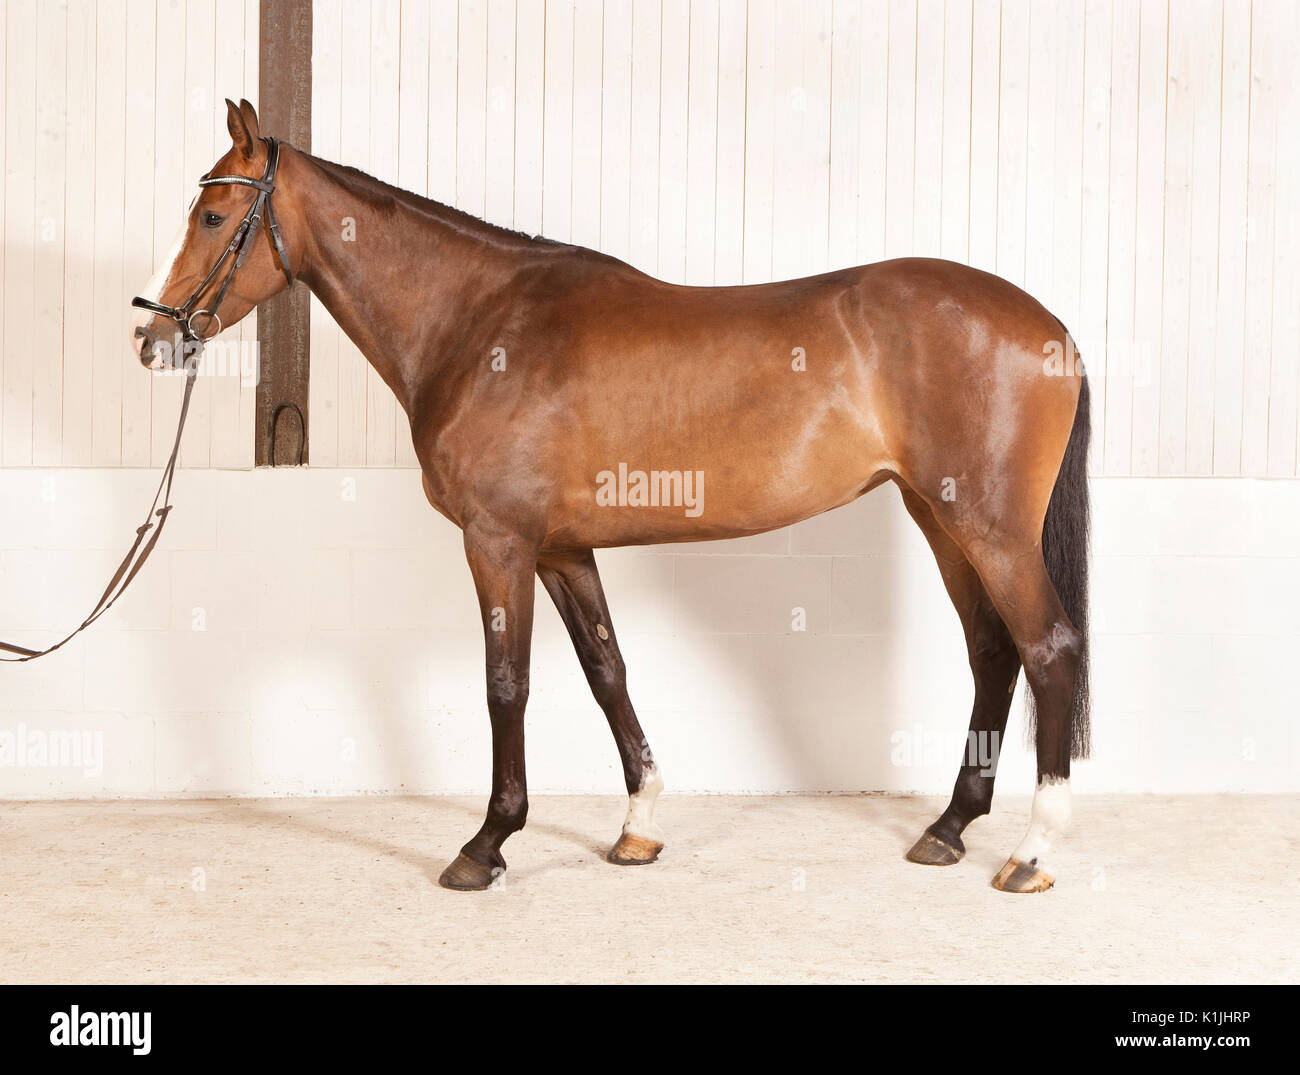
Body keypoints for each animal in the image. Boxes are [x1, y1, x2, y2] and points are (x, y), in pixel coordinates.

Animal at [131, 99, 1090, 894]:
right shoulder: (560, 548)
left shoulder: (498, 541)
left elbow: (506, 683)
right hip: (940, 518)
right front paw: (638, 827)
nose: (152, 338)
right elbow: (607, 670)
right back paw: (950, 827)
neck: (480, 323)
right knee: (993, 652)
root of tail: (1050, 326)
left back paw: (1031, 850)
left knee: (1047, 648)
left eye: (213, 216)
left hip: (988, 527)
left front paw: (487, 844)